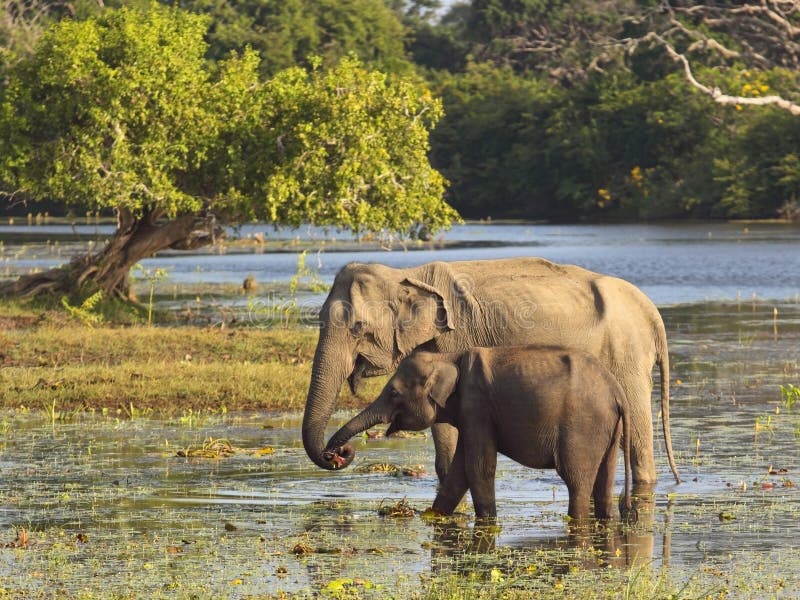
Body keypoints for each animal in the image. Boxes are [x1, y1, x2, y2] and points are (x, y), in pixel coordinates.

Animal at [302, 258, 680, 486]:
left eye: (357, 328)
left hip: (626, 354)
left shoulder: (457, 339)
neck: (406, 274)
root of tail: (652, 312)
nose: (339, 454)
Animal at [323, 346, 634, 522]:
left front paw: (487, 521)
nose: (338, 454)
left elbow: (478, 467)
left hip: (582, 427)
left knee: (576, 481)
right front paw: (431, 515)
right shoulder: (469, 413)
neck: (448, 357)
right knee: (604, 481)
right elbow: (459, 471)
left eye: (394, 393)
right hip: (608, 429)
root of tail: (617, 392)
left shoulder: (477, 405)